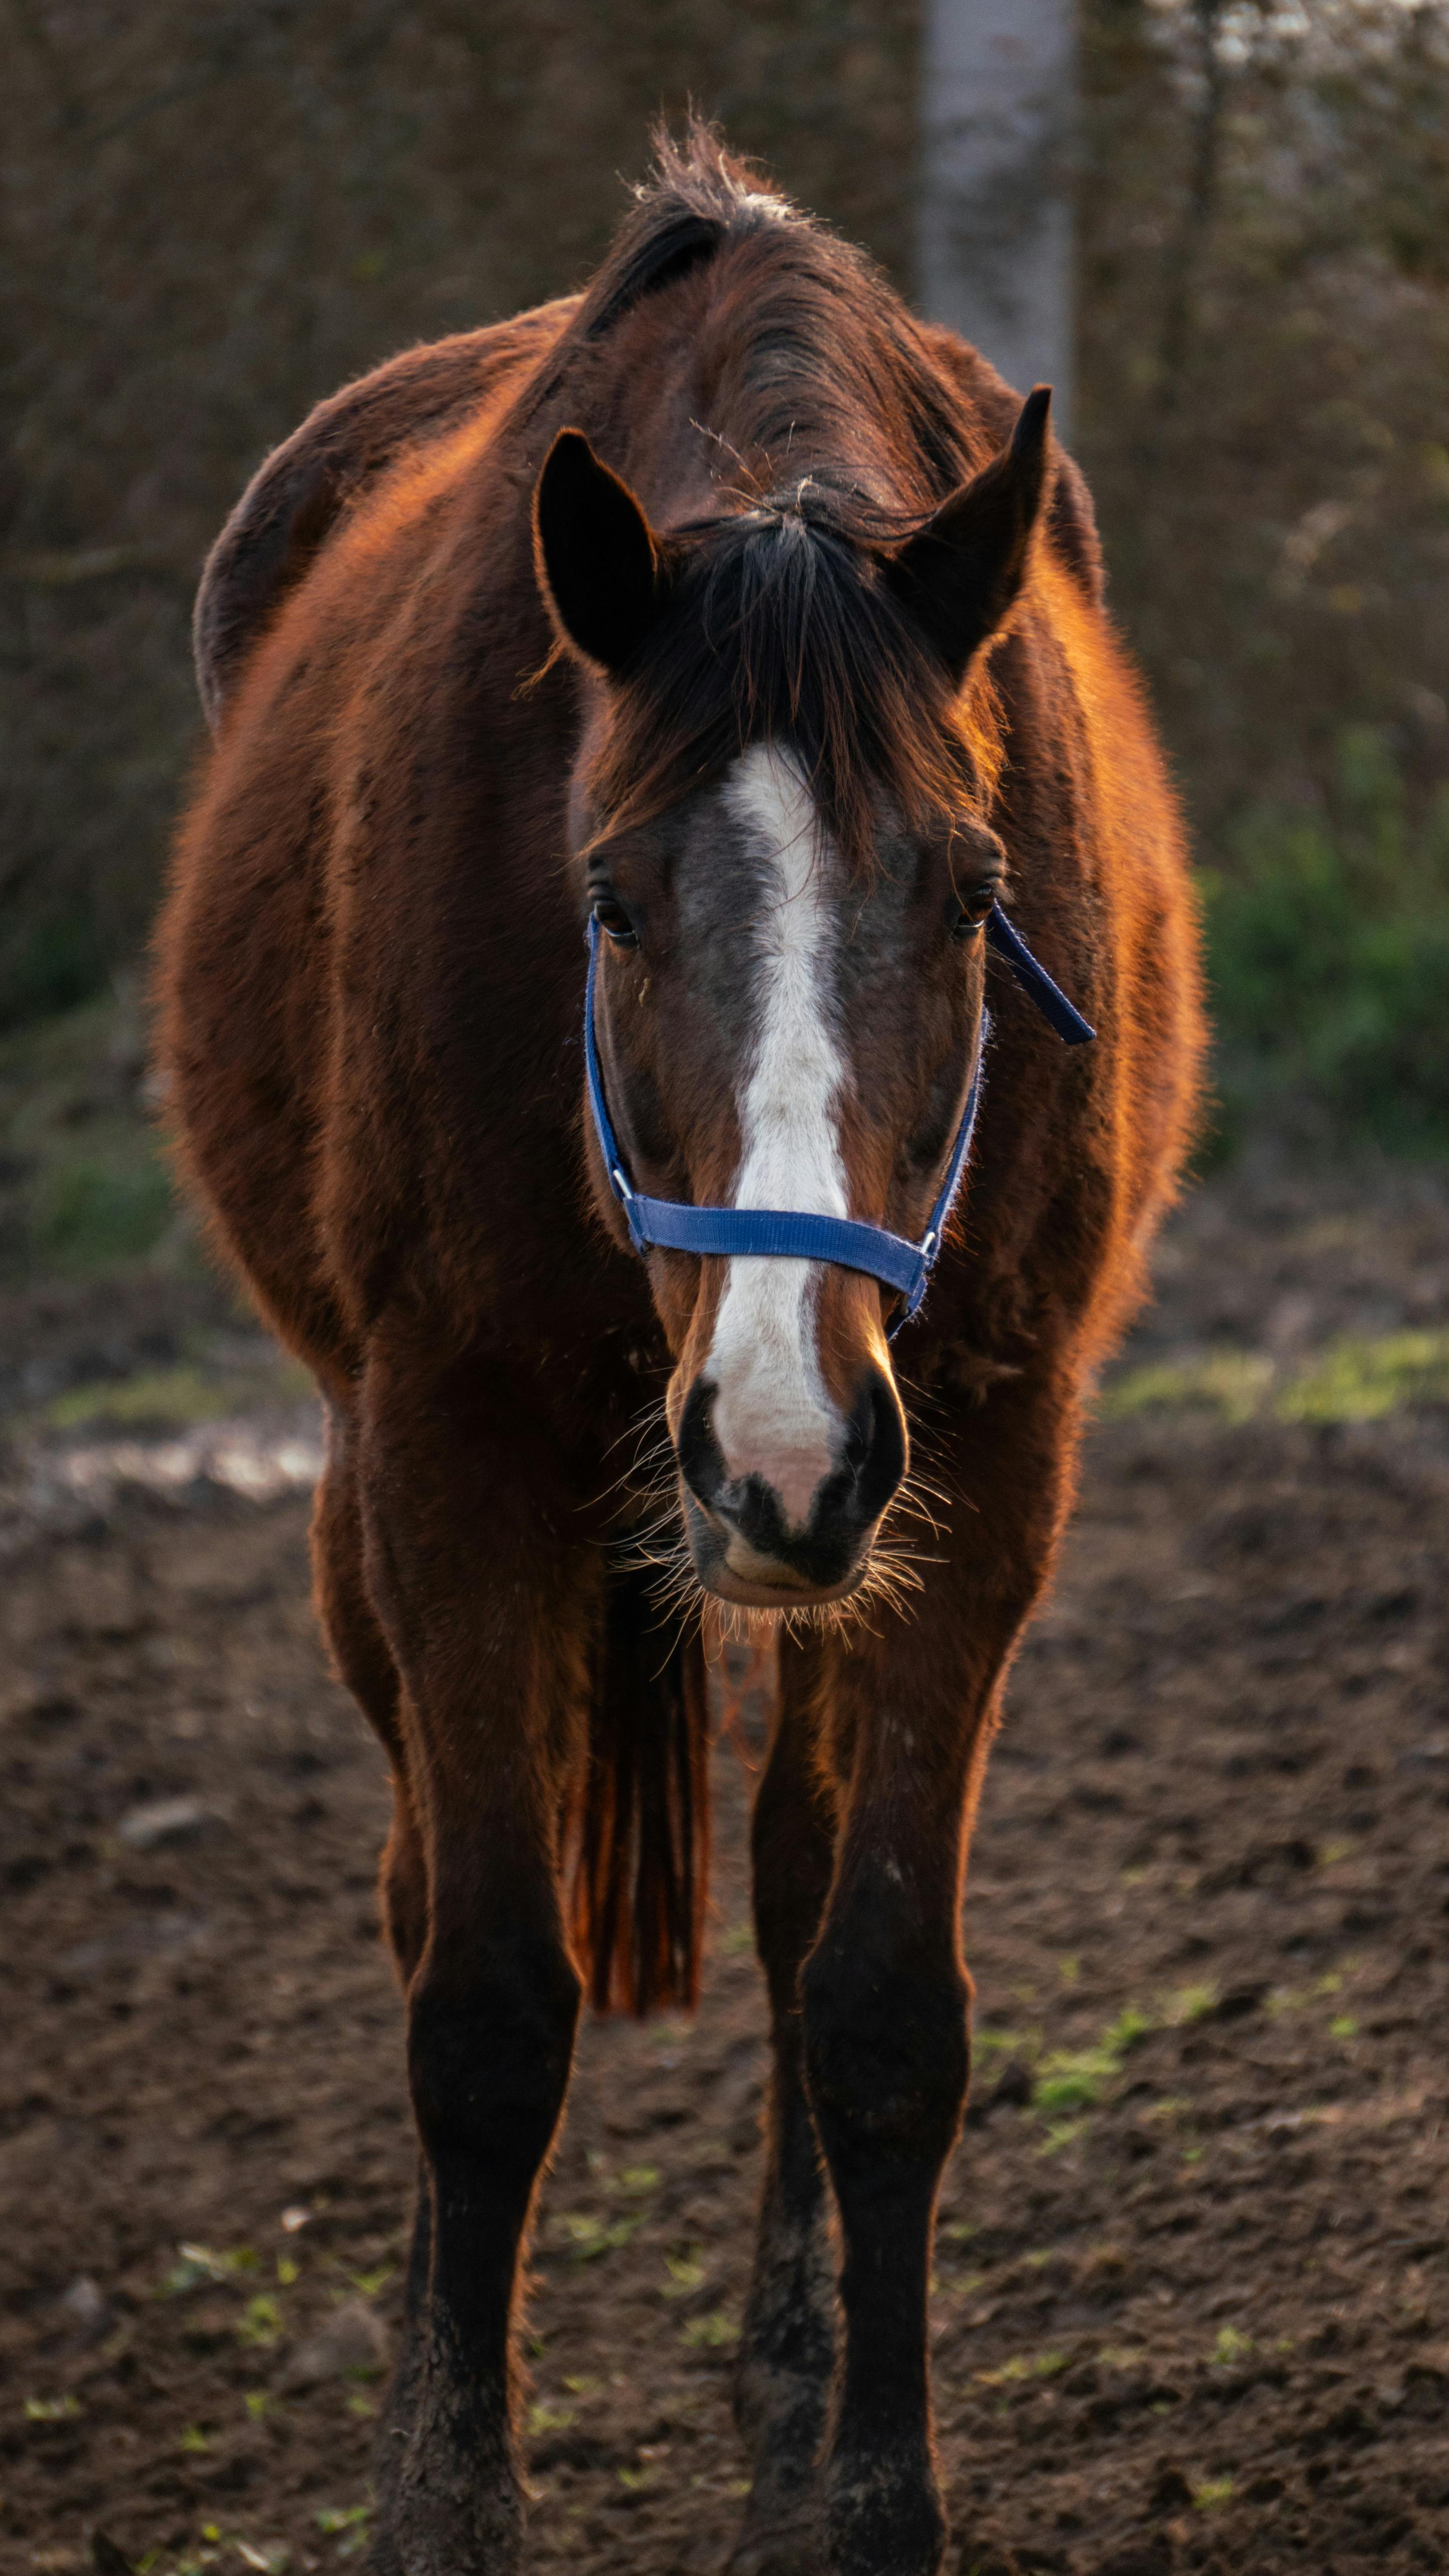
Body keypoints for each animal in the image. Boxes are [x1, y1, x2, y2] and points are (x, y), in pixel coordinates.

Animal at [156, 127, 1202, 2576]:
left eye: (971, 893)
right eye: (610, 897)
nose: (776, 1440)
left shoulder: (980, 1457)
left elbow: (882, 2003)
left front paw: (867, 2488)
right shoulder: (446, 1444)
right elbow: (483, 2011)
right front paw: (444, 2500)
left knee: (799, 1900)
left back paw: (791, 2374)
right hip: (378, 1500)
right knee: (428, 1890)